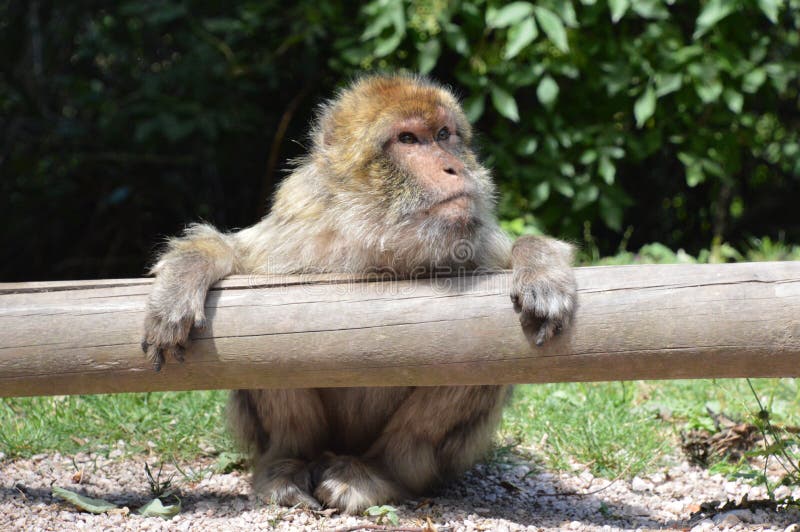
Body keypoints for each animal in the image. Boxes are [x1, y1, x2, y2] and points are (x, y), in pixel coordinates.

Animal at [141, 74, 577, 513]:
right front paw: (181, 281)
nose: (454, 167)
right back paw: (287, 462)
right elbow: (234, 255)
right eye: (408, 139)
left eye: (443, 135)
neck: (381, 243)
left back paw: (382, 470)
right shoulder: (298, 229)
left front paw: (539, 265)